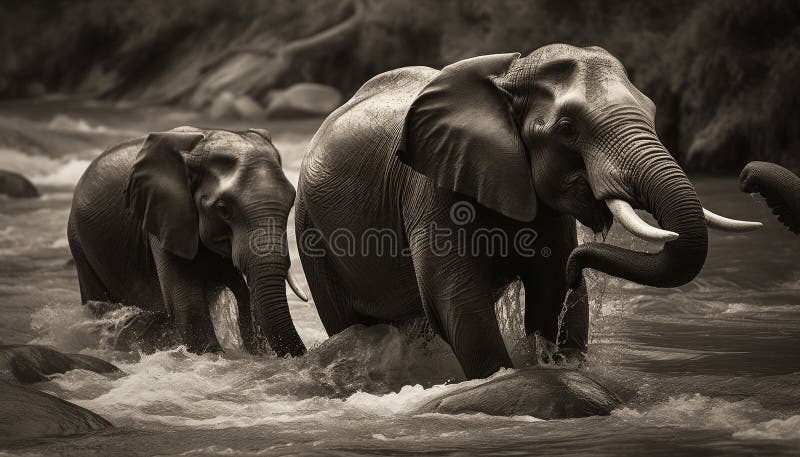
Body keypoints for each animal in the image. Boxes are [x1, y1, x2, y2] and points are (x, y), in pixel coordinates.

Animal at [296, 44, 761, 380]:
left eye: (651, 112)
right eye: (568, 129)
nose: (580, 263)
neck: (509, 77)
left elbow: (550, 289)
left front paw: (556, 360)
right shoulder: (432, 189)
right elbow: (457, 302)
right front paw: (502, 377)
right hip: (311, 232)